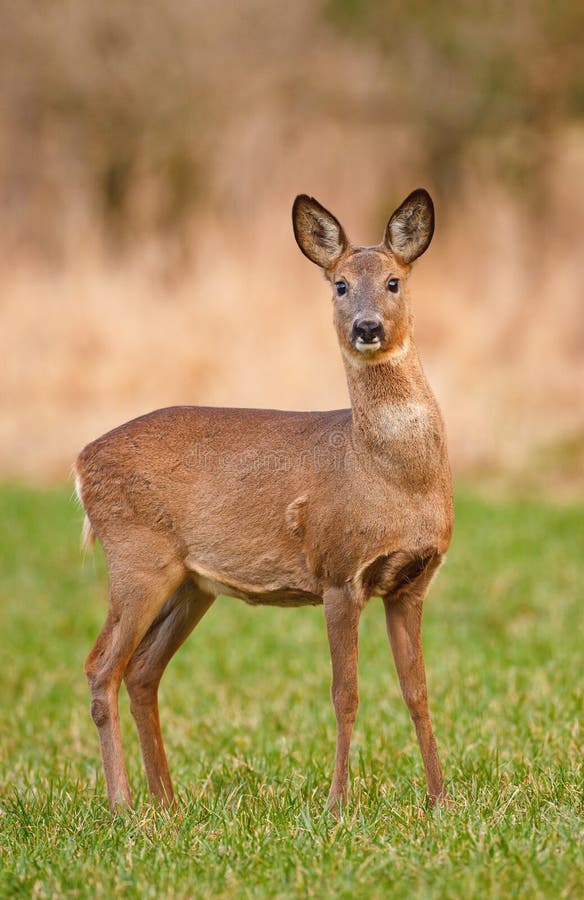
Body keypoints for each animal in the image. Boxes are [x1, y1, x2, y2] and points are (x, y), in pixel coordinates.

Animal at [74, 188, 454, 812]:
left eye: (394, 281)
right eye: (340, 284)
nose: (367, 327)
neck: (390, 477)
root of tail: (81, 463)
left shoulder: (412, 582)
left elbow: (418, 691)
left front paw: (441, 799)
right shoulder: (338, 570)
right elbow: (345, 693)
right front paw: (337, 805)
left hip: (190, 582)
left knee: (142, 671)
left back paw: (169, 804)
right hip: (136, 556)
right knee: (100, 667)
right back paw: (124, 806)